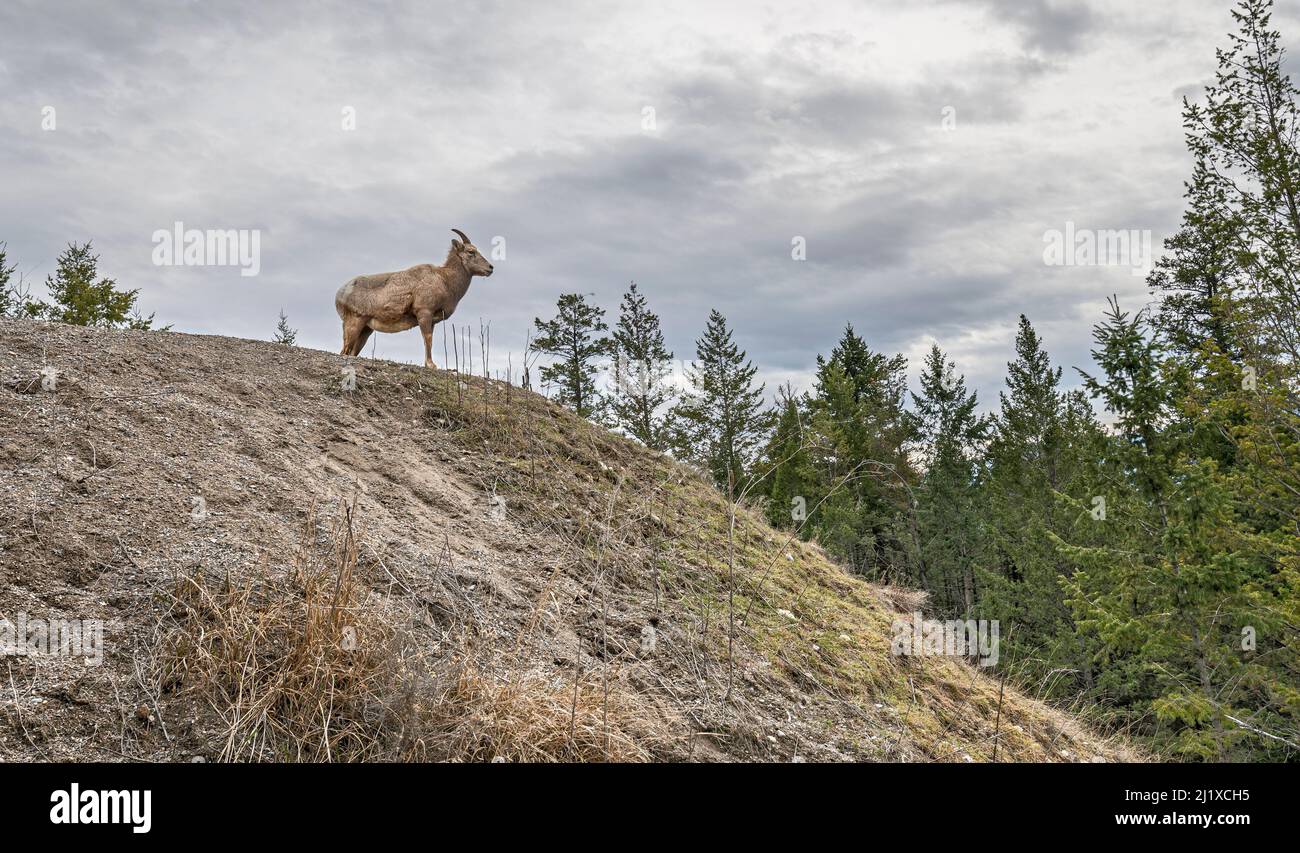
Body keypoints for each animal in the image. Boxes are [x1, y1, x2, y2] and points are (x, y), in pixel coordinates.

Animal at [335, 228, 494, 368]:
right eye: (471, 252)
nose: (490, 268)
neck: (445, 281)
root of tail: (340, 293)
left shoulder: (432, 320)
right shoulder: (424, 313)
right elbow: (427, 338)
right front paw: (431, 365)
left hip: (366, 330)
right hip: (354, 325)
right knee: (344, 351)